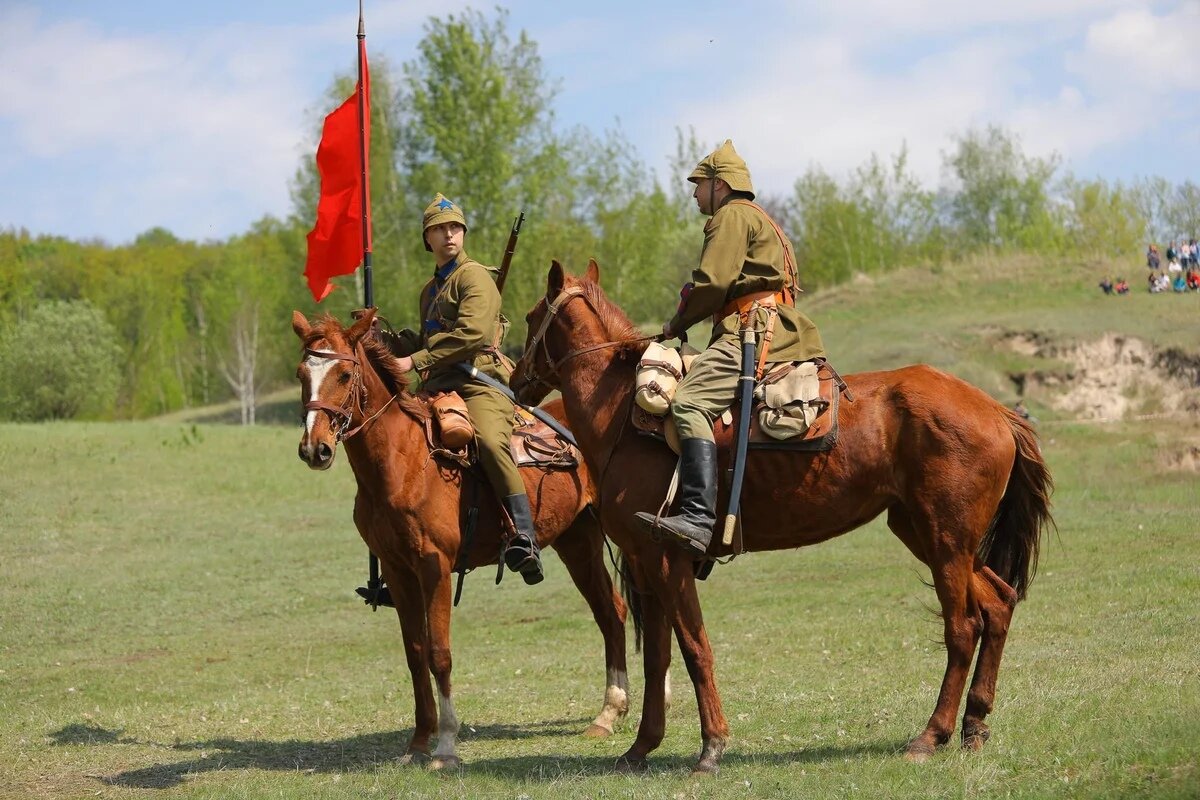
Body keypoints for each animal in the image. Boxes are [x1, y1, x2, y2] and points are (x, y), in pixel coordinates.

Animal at [292, 311, 628, 767]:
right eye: (301, 374)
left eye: (344, 374)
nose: (315, 449)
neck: (404, 462)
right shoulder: (398, 572)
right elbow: (416, 653)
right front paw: (418, 743)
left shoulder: (434, 568)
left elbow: (440, 654)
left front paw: (446, 746)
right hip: (578, 543)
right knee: (612, 612)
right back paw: (609, 714)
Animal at [511, 262, 1056, 777]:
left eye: (531, 316)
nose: (515, 380)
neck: (624, 415)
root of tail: (996, 410)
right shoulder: (647, 563)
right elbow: (660, 656)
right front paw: (641, 747)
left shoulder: (668, 559)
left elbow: (695, 648)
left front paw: (711, 747)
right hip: (929, 535)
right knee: (998, 604)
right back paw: (974, 724)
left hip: (946, 542)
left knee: (963, 626)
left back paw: (931, 735)